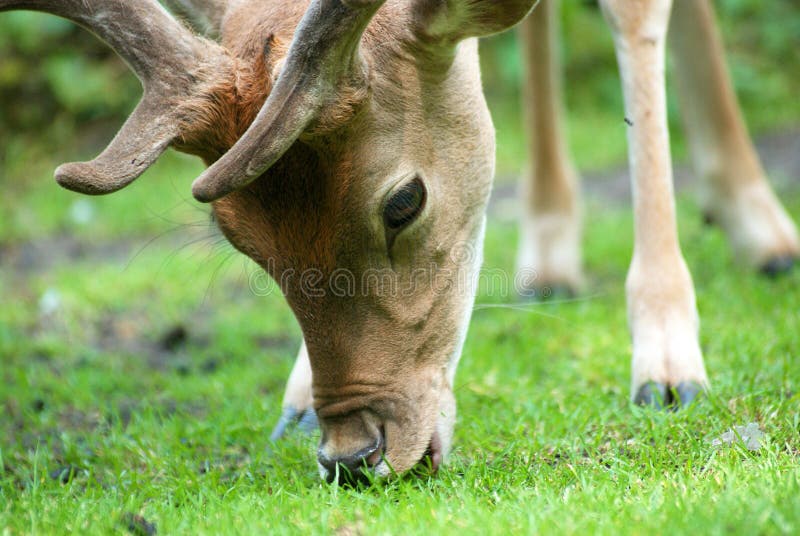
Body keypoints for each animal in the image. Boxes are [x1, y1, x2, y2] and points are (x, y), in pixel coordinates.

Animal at [1, 0, 796, 486]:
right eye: (239, 237)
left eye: (404, 201)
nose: (354, 456)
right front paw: (296, 397)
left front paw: (667, 364)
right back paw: (551, 249)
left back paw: (762, 230)